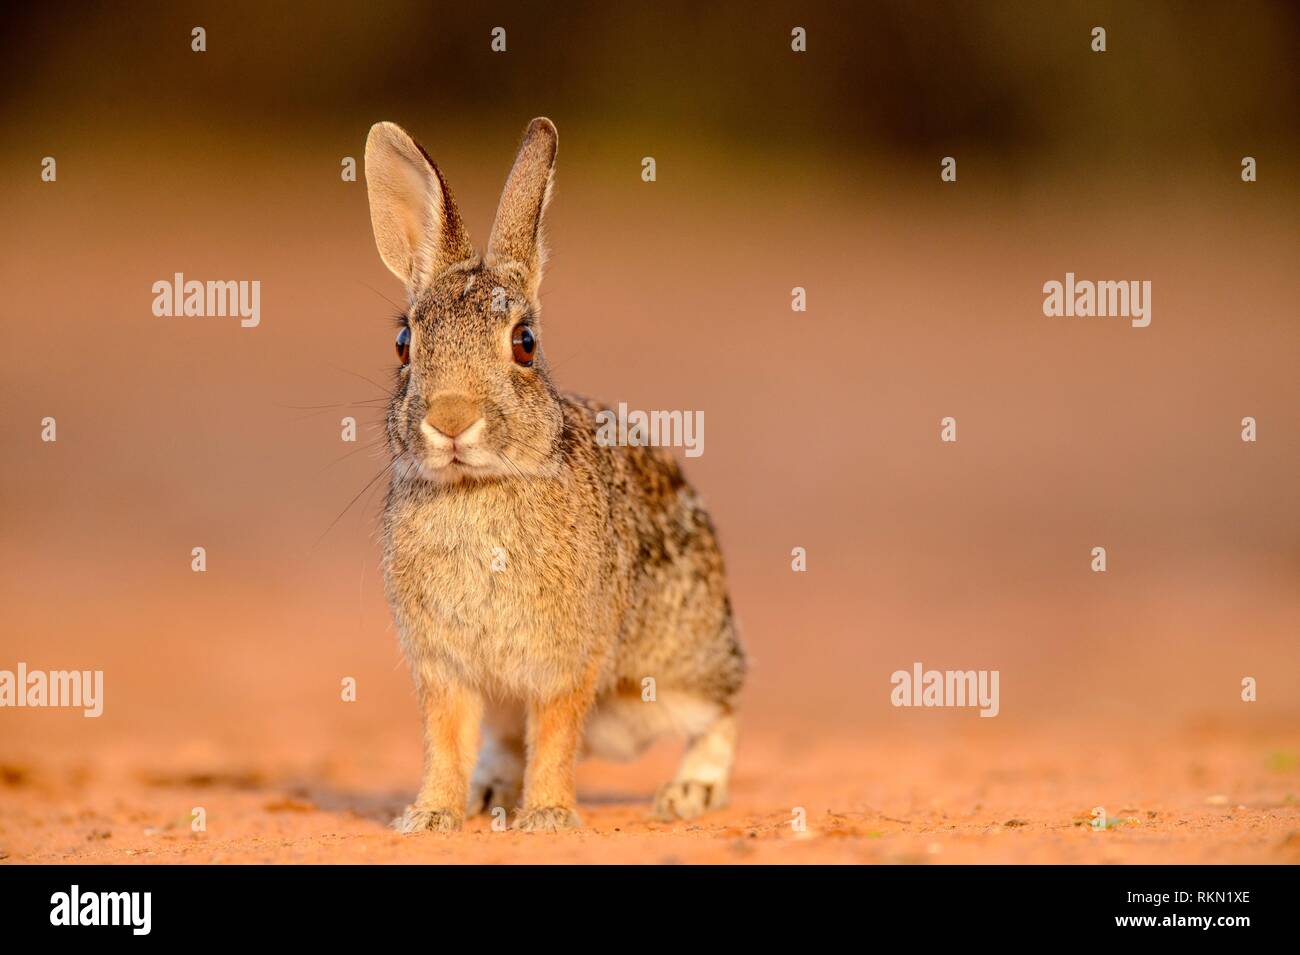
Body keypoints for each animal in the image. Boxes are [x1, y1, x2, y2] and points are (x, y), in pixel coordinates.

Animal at [364, 117, 746, 833]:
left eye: (525, 344)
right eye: (404, 344)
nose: (450, 419)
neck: (478, 488)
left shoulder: (567, 660)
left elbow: (556, 735)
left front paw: (547, 817)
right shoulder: (444, 668)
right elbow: (446, 740)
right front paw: (430, 816)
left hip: (677, 668)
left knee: (722, 710)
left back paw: (689, 793)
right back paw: (489, 794)